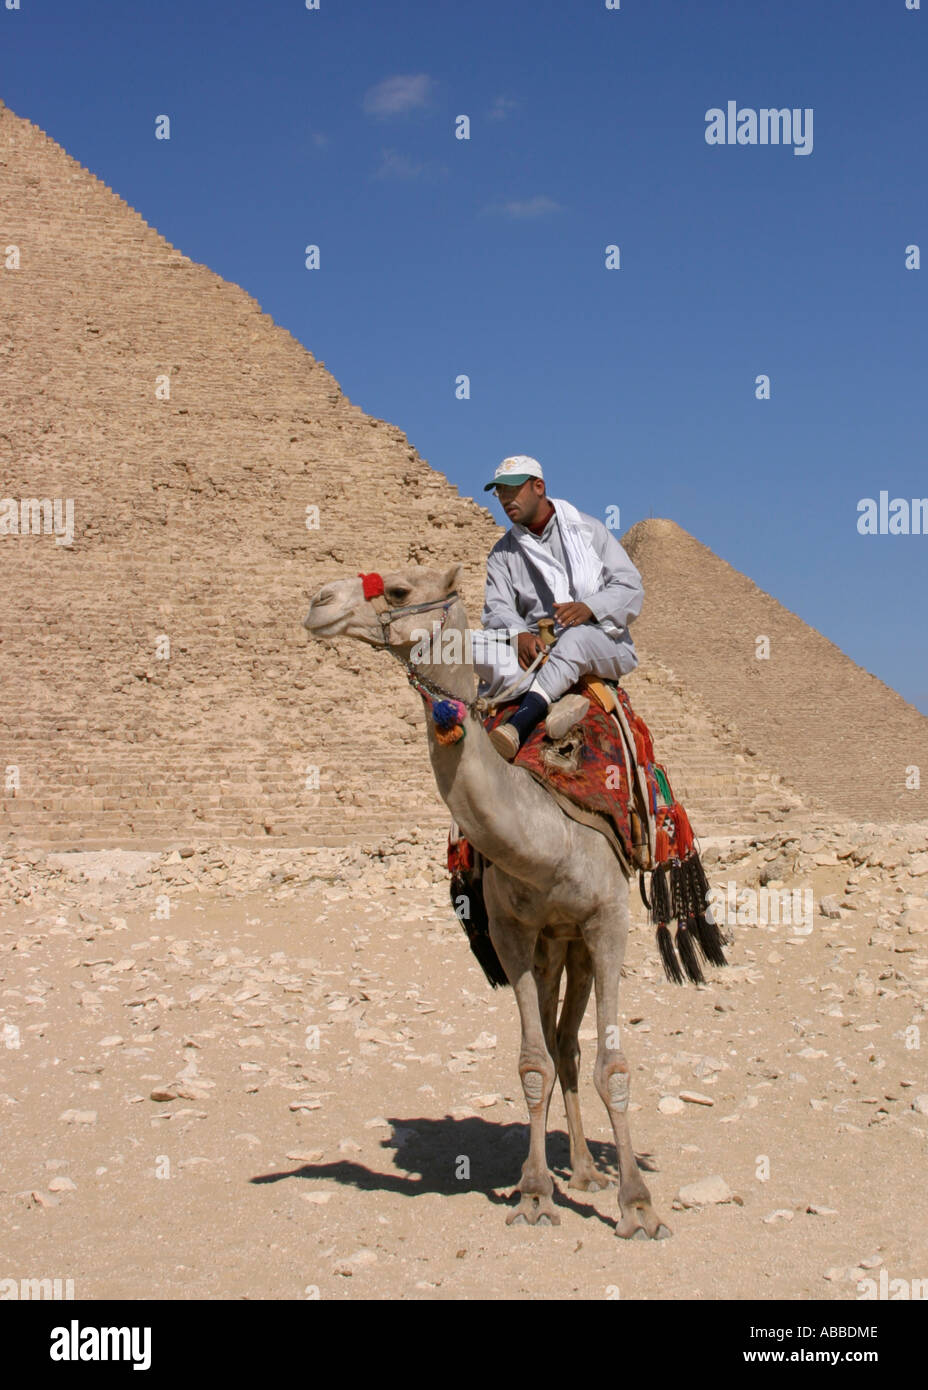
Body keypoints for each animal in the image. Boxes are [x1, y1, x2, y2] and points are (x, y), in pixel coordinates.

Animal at [303, 561, 671, 1238]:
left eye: (400, 589)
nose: (318, 602)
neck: (547, 833)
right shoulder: (511, 932)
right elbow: (532, 1065)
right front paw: (534, 1194)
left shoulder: (608, 922)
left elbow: (615, 1067)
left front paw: (638, 1206)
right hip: (553, 945)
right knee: (560, 1045)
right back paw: (578, 1171)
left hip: (579, 943)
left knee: (574, 1045)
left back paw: (595, 1173)